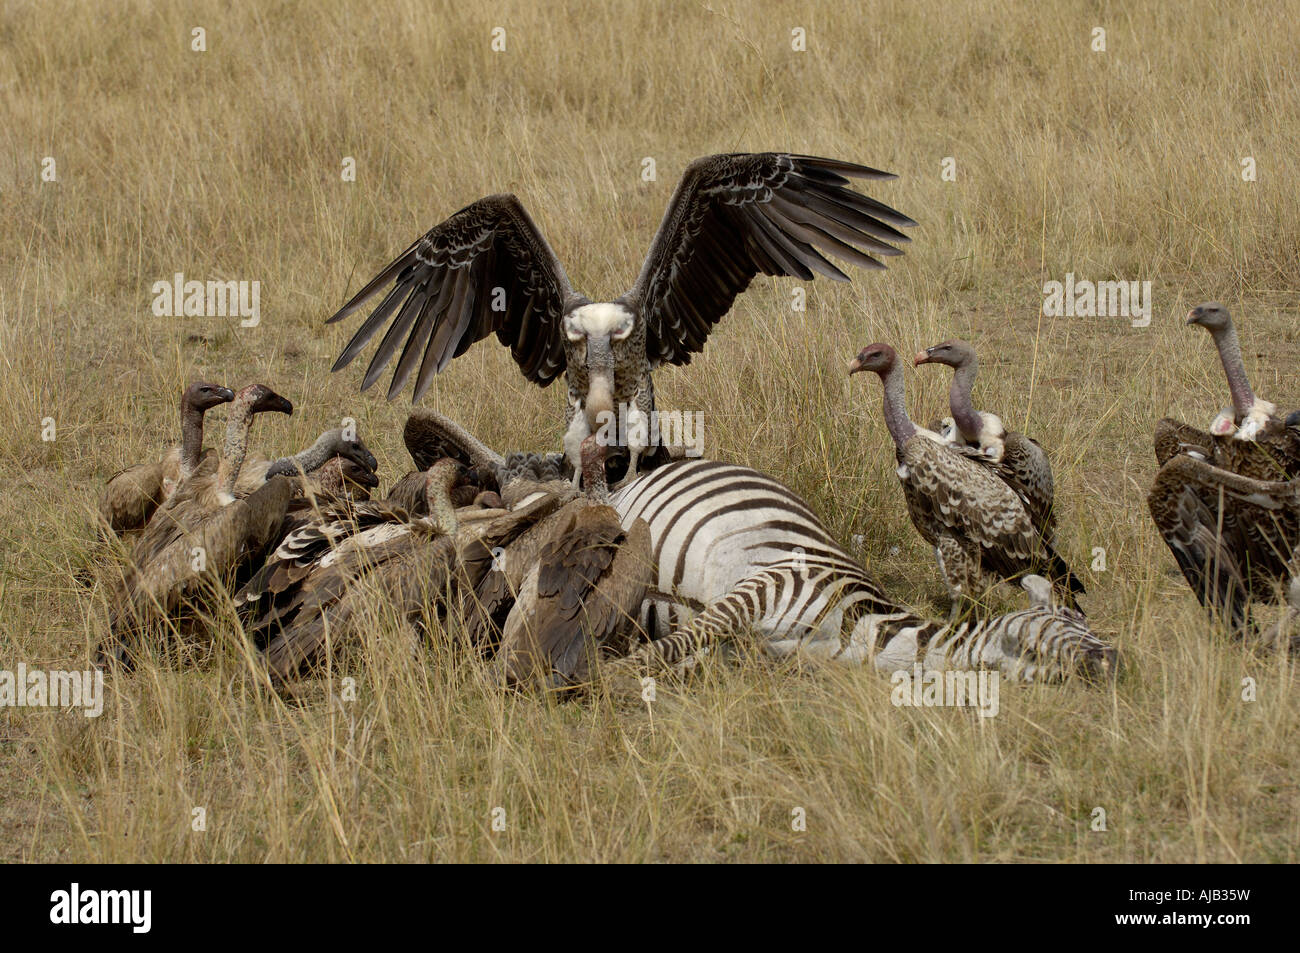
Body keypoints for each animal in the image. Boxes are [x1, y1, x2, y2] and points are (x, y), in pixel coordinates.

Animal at [574, 459, 1118, 683]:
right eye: (1076, 626)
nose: (1116, 662)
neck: (861, 633)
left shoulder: (752, 651)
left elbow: (684, 652)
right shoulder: (763, 585)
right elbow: (672, 648)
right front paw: (591, 682)